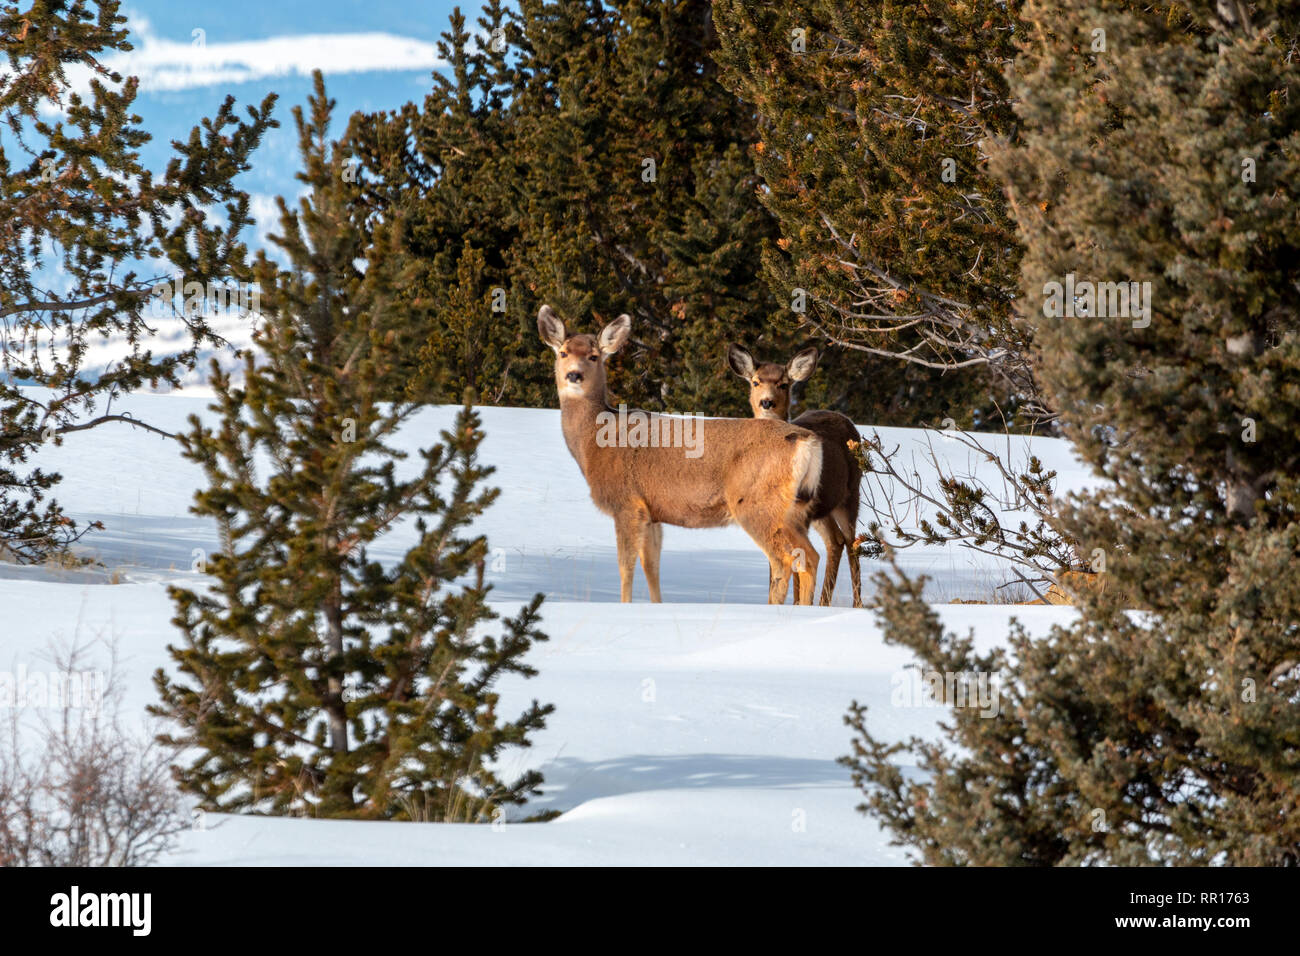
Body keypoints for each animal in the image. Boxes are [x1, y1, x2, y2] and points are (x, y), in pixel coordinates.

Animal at [538, 305, 824, 605]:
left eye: (594, 356)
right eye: (563, 353)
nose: (574, 375)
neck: (594, 443)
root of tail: (807, 440)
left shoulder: (627, 502)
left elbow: (625, 566)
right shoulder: (651, 511)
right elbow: (651, 566)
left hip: (756, 502)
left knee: (783, 560)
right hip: (794, 510)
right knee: (811, 556)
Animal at [726, 343, 863, 608]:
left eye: (783, 384)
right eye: (756, 382)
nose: (766, 402)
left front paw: (798, 604)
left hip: (851, 494)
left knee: (852, 543)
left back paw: (856, 604)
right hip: (821, 510)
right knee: (835, 541)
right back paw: (823, 602)